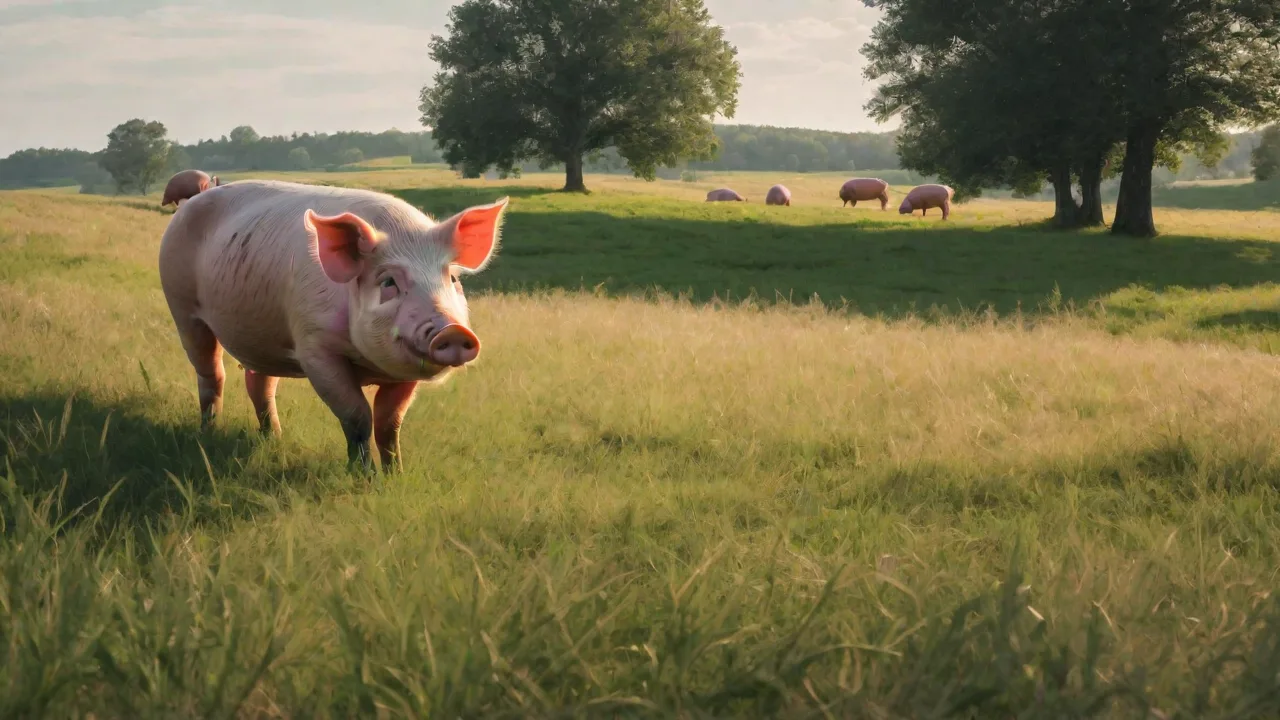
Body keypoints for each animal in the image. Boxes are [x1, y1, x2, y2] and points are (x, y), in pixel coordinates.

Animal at [158, 172, 507, 472]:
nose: (453, 330)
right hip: (182, 306)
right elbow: (358, 417)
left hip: (261, 335)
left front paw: (395, 475)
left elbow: (390, 423)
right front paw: (363, 477)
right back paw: (208, 432)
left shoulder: (403, 373)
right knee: (211, 373)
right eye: (389, 282)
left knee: (260, 383)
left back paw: (274, 438)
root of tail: (189, 203)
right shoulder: (314, 348)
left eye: (453, 279)